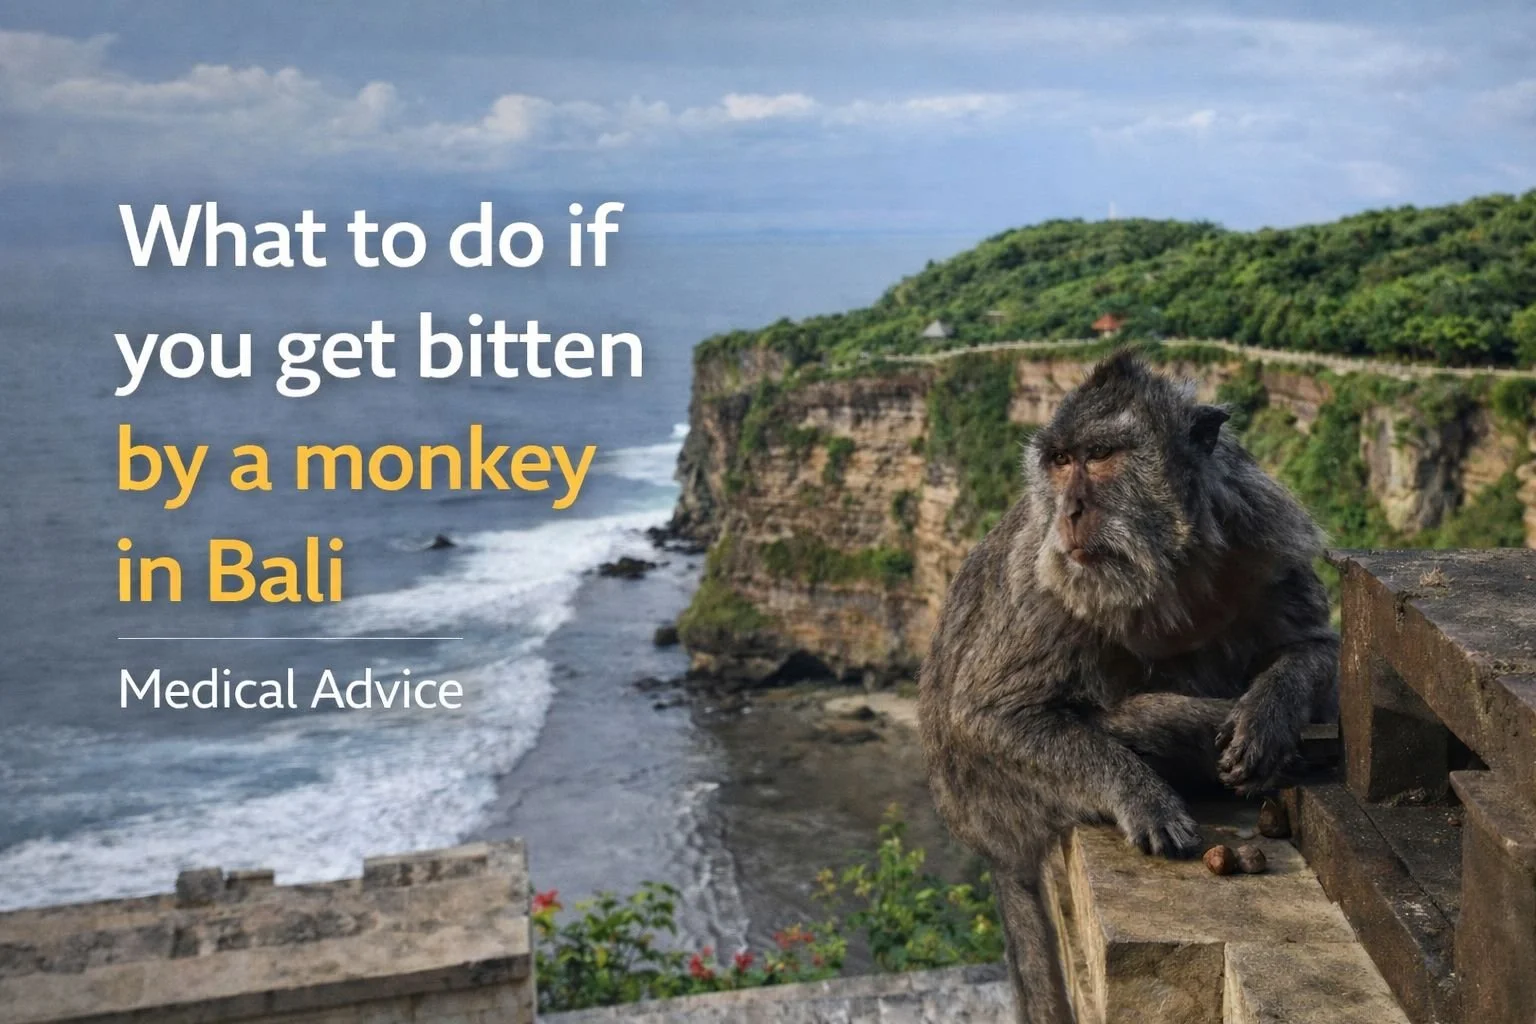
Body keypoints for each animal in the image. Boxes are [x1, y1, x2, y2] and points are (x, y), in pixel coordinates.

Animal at [917, 350, 1338, 1023]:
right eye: (1060, 461)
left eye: (1101, 455)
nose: (1070, 511)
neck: (1167, 564)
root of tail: (988, 839)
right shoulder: (1044, 576)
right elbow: (988, 716)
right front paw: (1142, 793)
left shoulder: (1260, 526)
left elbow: (1314, 648)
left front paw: (1269, 716)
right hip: (1005, 797)